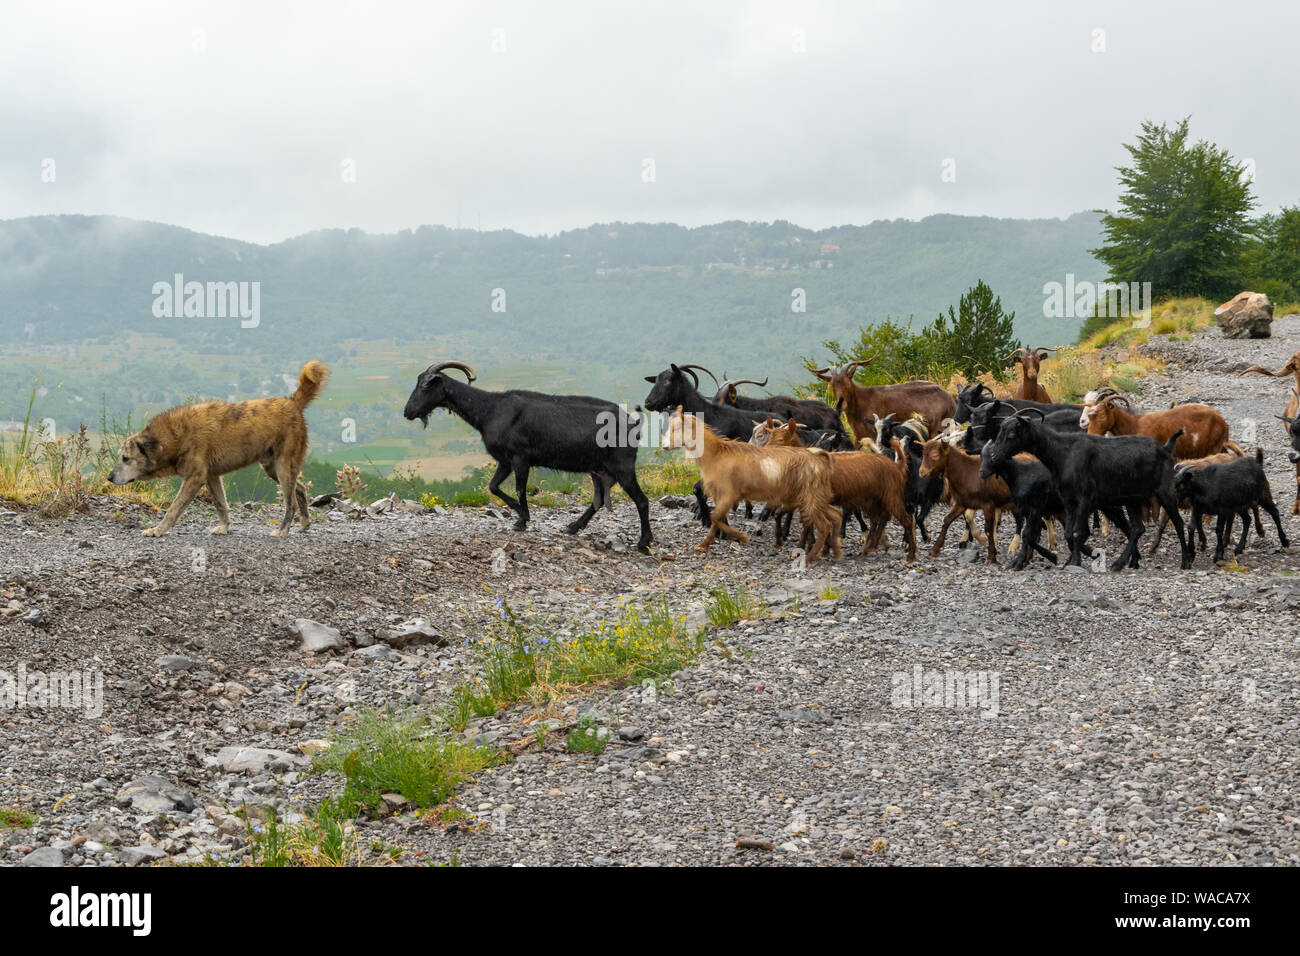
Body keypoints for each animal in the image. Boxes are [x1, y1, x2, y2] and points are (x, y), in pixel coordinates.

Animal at [403, 361, 652, 553]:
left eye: (425, 386)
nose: (407, 412)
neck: (489, 410)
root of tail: (634, 424)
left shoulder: (520, 457)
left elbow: (520, 488)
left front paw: (522, 519)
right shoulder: (505, 461)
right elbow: (493, 486)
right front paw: (521, 514)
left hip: (622, 466)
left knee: (641, 500)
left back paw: (644, 542)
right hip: (598, 469)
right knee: (598, 500)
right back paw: (573, 526)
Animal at [661, 407, 842, 560]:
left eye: (677, 428)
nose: (665, 446)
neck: (717, 453)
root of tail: (817, 458)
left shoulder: (729, 493)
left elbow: (715, 517)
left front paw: (735, 536)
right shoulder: (720, 493)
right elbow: (716, 517)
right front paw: (710, 541)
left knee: (823, 523)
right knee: (831, 517)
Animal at [806, 355, 955, 445]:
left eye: (847, 383)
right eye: (832, 385)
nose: (841, 404)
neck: (862, 401)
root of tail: (950, 399)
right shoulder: (859, 436)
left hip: (937, 428)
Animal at [981, 409, 1192, 570]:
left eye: (1012, 434)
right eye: (1000, 431)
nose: (995, 455)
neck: (1063, 452)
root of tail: (1166, 448)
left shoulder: (1084, 498)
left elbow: (1079, 532)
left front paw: (1075, 561)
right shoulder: (1068, 500)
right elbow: (1069, 533)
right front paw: (1073, 559)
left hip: (1165, 490)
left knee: (1178, 523)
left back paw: (1185, 561)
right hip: (1132, 498)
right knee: (1137, 529)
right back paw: (1123, 563)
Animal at [1080, 388, 1240, 460]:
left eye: (1101, 416)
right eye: (1090, 415)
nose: (1091, 434)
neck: (1134, 424)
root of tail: (1223, 422)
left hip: (1212, 448)